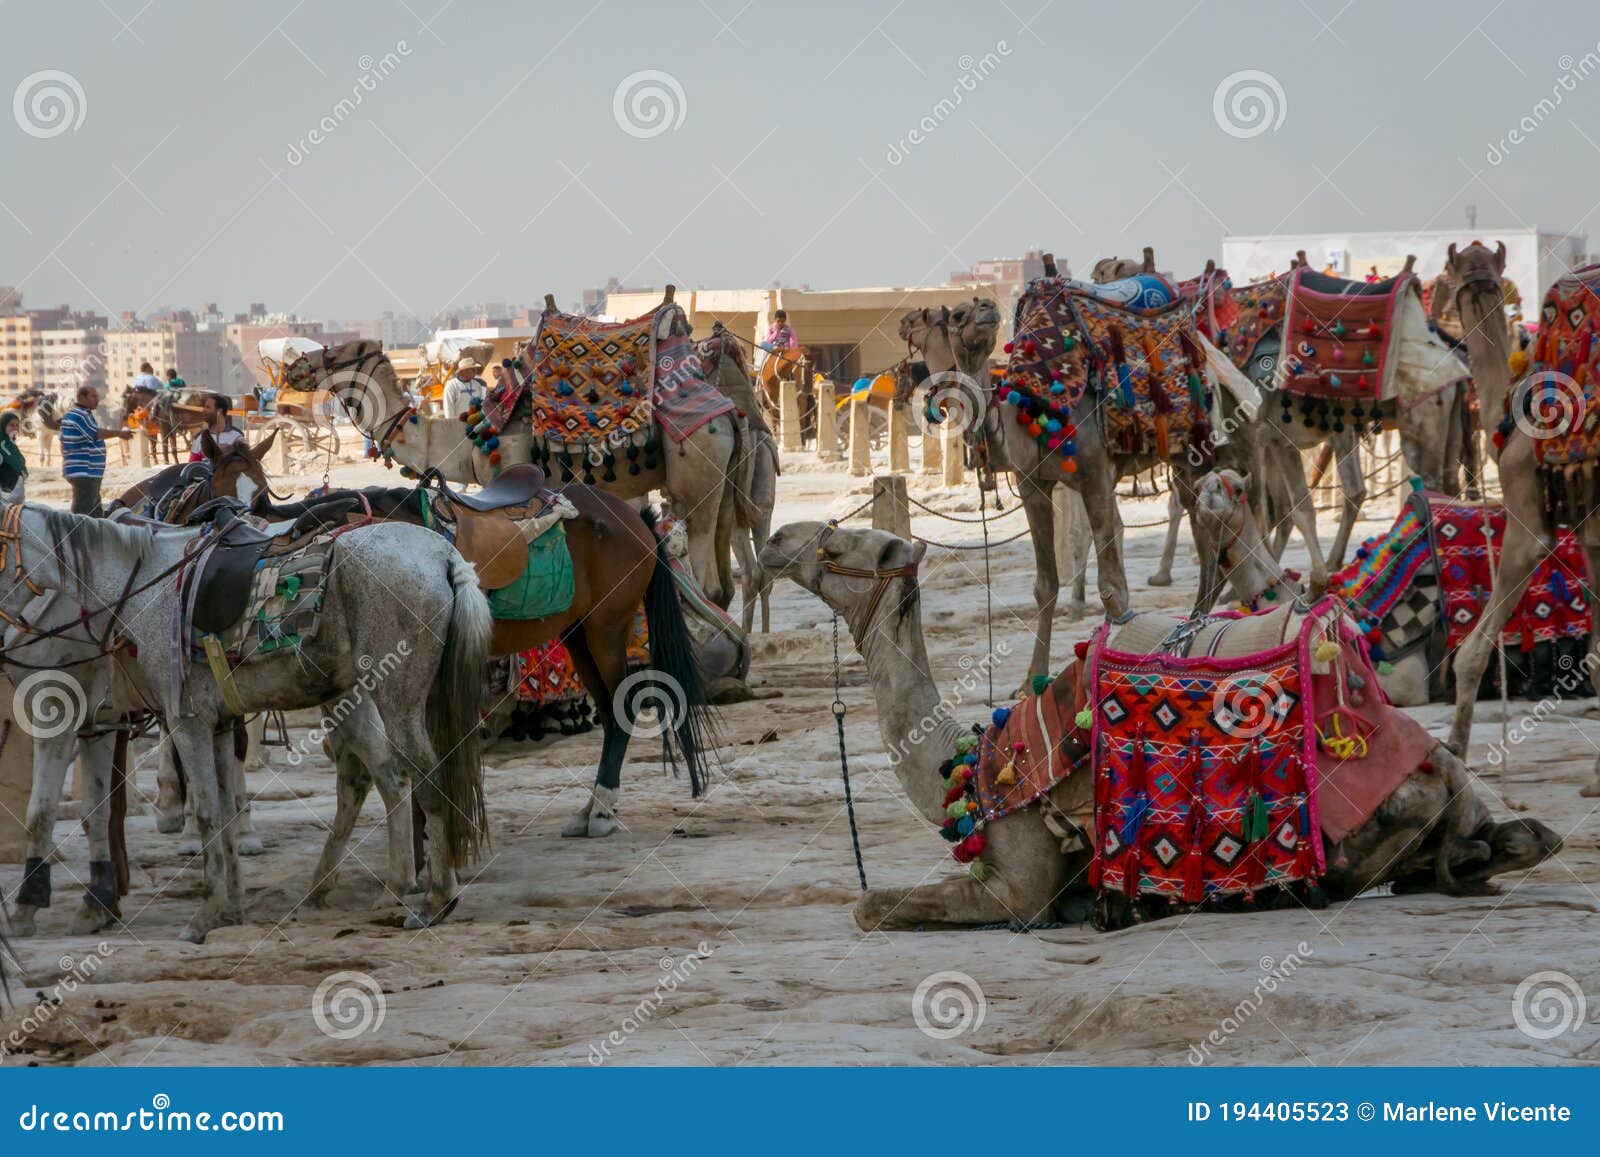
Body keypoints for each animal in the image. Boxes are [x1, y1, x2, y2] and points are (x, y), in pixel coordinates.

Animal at [297, 317, 743, 609]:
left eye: (337, 353)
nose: (296, 366)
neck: (467, 438)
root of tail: (728, 413)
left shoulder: (508, 471)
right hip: (724, 479)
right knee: (724, 575)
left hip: (696, 467)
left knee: (706, 572)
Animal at [761, 520, 1562, 930]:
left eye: (838, 541)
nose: (773, 539)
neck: (970, 762)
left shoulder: (1017, 888)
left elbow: (869, 907)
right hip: (1460, 801)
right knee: (1516, 839)